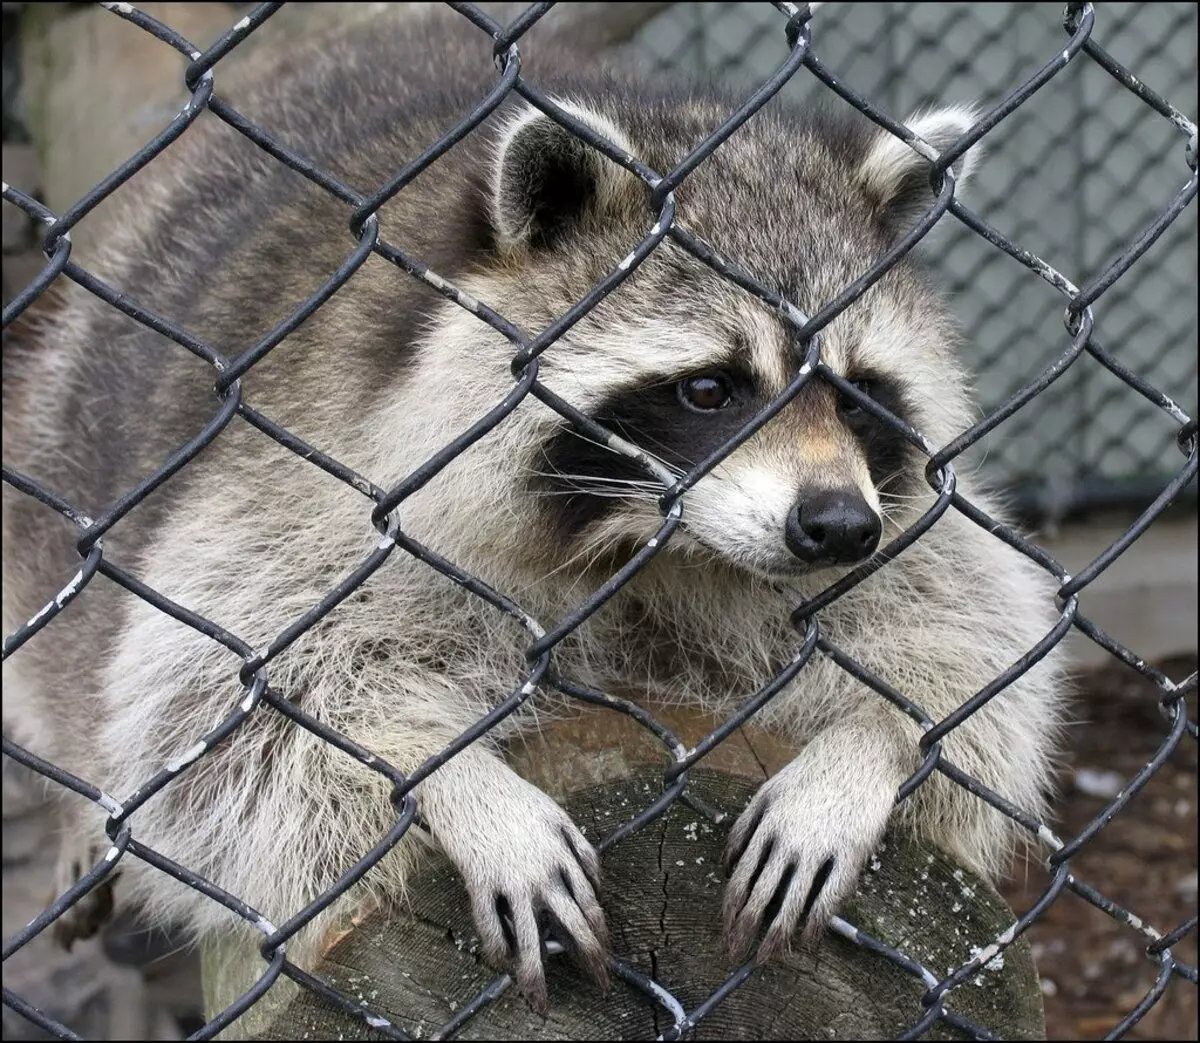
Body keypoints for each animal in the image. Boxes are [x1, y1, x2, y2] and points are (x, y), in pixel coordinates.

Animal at [4, 0, 1065, 1008]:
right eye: (710, 389)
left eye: (852, 395)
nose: (840, 528)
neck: (647, 544)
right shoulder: (313, 476)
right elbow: (218, 703)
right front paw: (456, 782)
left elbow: (980, 637)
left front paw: (868, 750)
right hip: (65, 422)